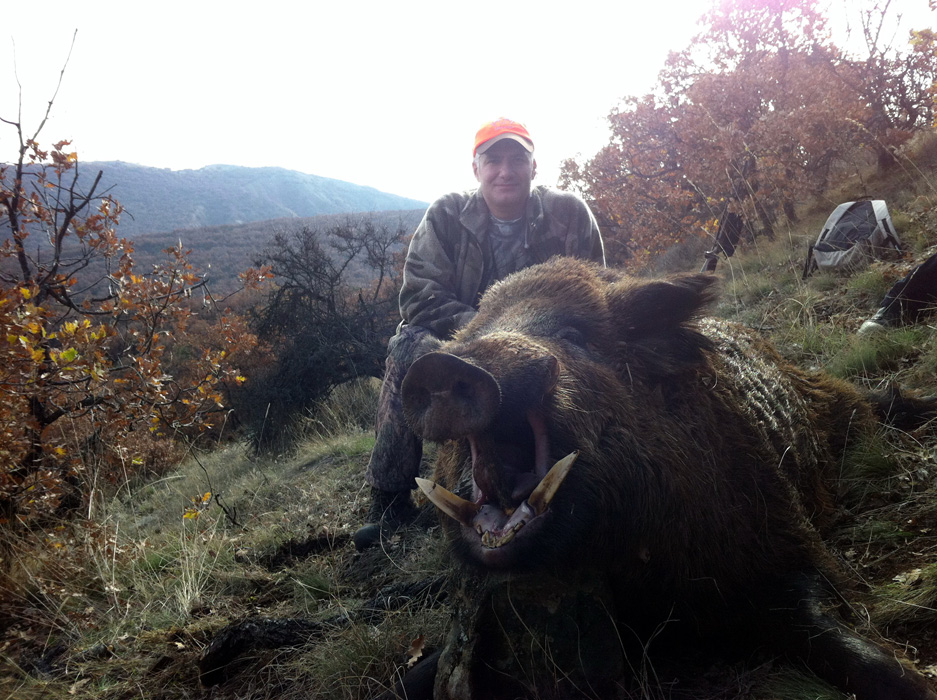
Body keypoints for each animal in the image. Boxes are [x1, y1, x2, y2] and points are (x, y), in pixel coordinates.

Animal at [398, 257, 937, 700]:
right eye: (471, 335)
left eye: (574, 334)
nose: (441, 364)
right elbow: (415, 676)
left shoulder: (780, 534)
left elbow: (848, 644)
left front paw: (918, 684)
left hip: (833, 401)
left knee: (872, 403)